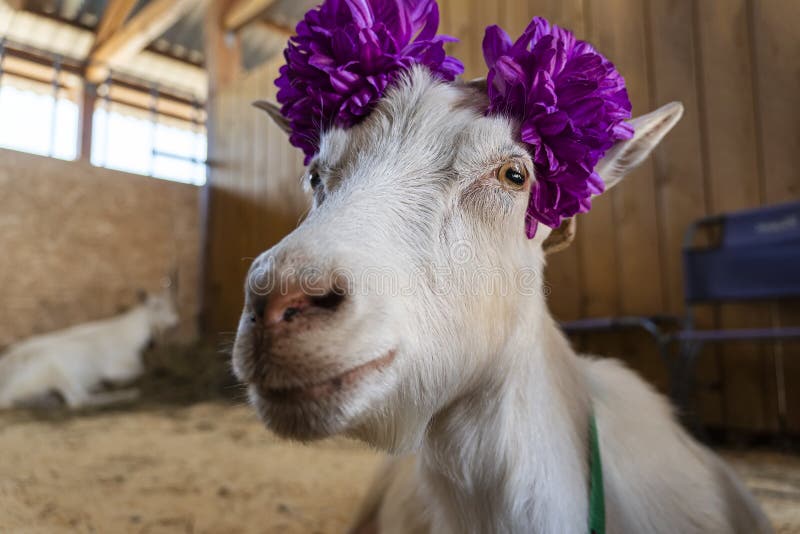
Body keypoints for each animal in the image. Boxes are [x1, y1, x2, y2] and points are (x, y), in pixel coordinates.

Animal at [0, 290, 177, 409]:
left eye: (172, 305)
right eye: (157, 307)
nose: (175, 322)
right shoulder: (118, 366)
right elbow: (140, 369)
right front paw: (114, 382)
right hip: (52, 371)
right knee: (78, 400)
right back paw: (127, 393)